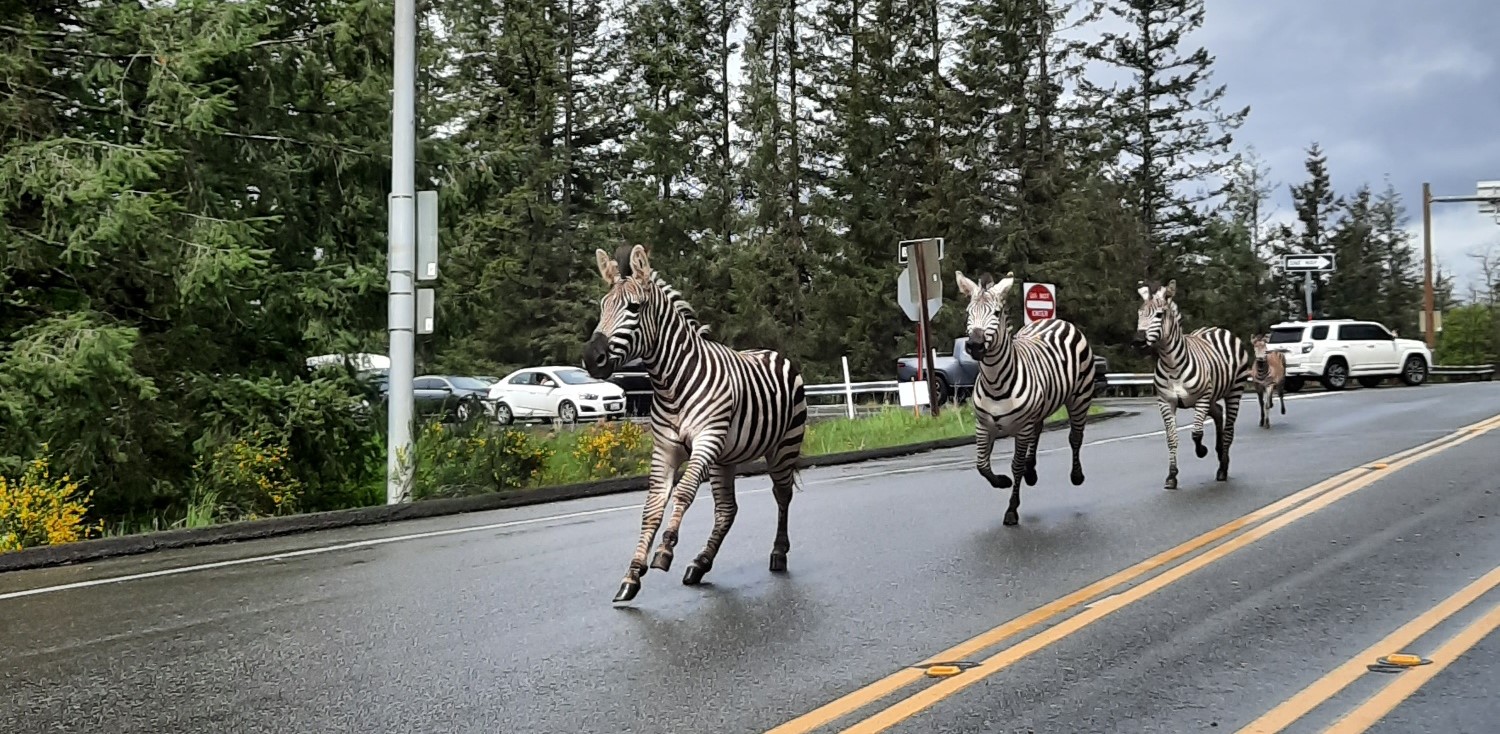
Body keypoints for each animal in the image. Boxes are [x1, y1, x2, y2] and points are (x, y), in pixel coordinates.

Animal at [582, 244, 808, 604]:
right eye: (603, 307)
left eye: (634, 307)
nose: (592, 358)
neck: (671, 384)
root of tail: (771, 351)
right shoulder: (665, 448)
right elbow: (652, 507)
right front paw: (632, 575)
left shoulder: (706, 438)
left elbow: (685, 491)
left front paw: (665, 550)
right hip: (725, 457)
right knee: (727, 509)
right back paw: (700, 564)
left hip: (783, 446)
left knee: (782, 495)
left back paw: (778, 554)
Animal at [957, 271, 1098, 527]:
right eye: (968, 313)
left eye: (996, 313)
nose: (975, 345)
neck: (995, 382)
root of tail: (1056, 320)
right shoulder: (983, 426)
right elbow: (982, 465)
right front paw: (1002, 482)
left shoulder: (1021, 428)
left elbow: (1016, 466)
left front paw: (1012, 509)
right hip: (1041, 407)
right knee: (1039, 430)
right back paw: (1032, 472)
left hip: (1080, 397)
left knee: (1075, 438)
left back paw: (1076, 475)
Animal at [1132, 279, 1253, 490]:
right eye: (1139, 314)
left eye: (1159, 315)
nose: (1138, 341)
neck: (1171, 364)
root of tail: (1217, 328)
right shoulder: (1165, 402)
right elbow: (1171, 439)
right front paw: (1172, 476)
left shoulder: (1202, 398)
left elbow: (1196, 433)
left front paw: (1202, 451)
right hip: (1212, 395)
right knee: (1218, 412)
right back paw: (1220, 453)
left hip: (1233, 391)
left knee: (1229, 429)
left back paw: (1223, 468)